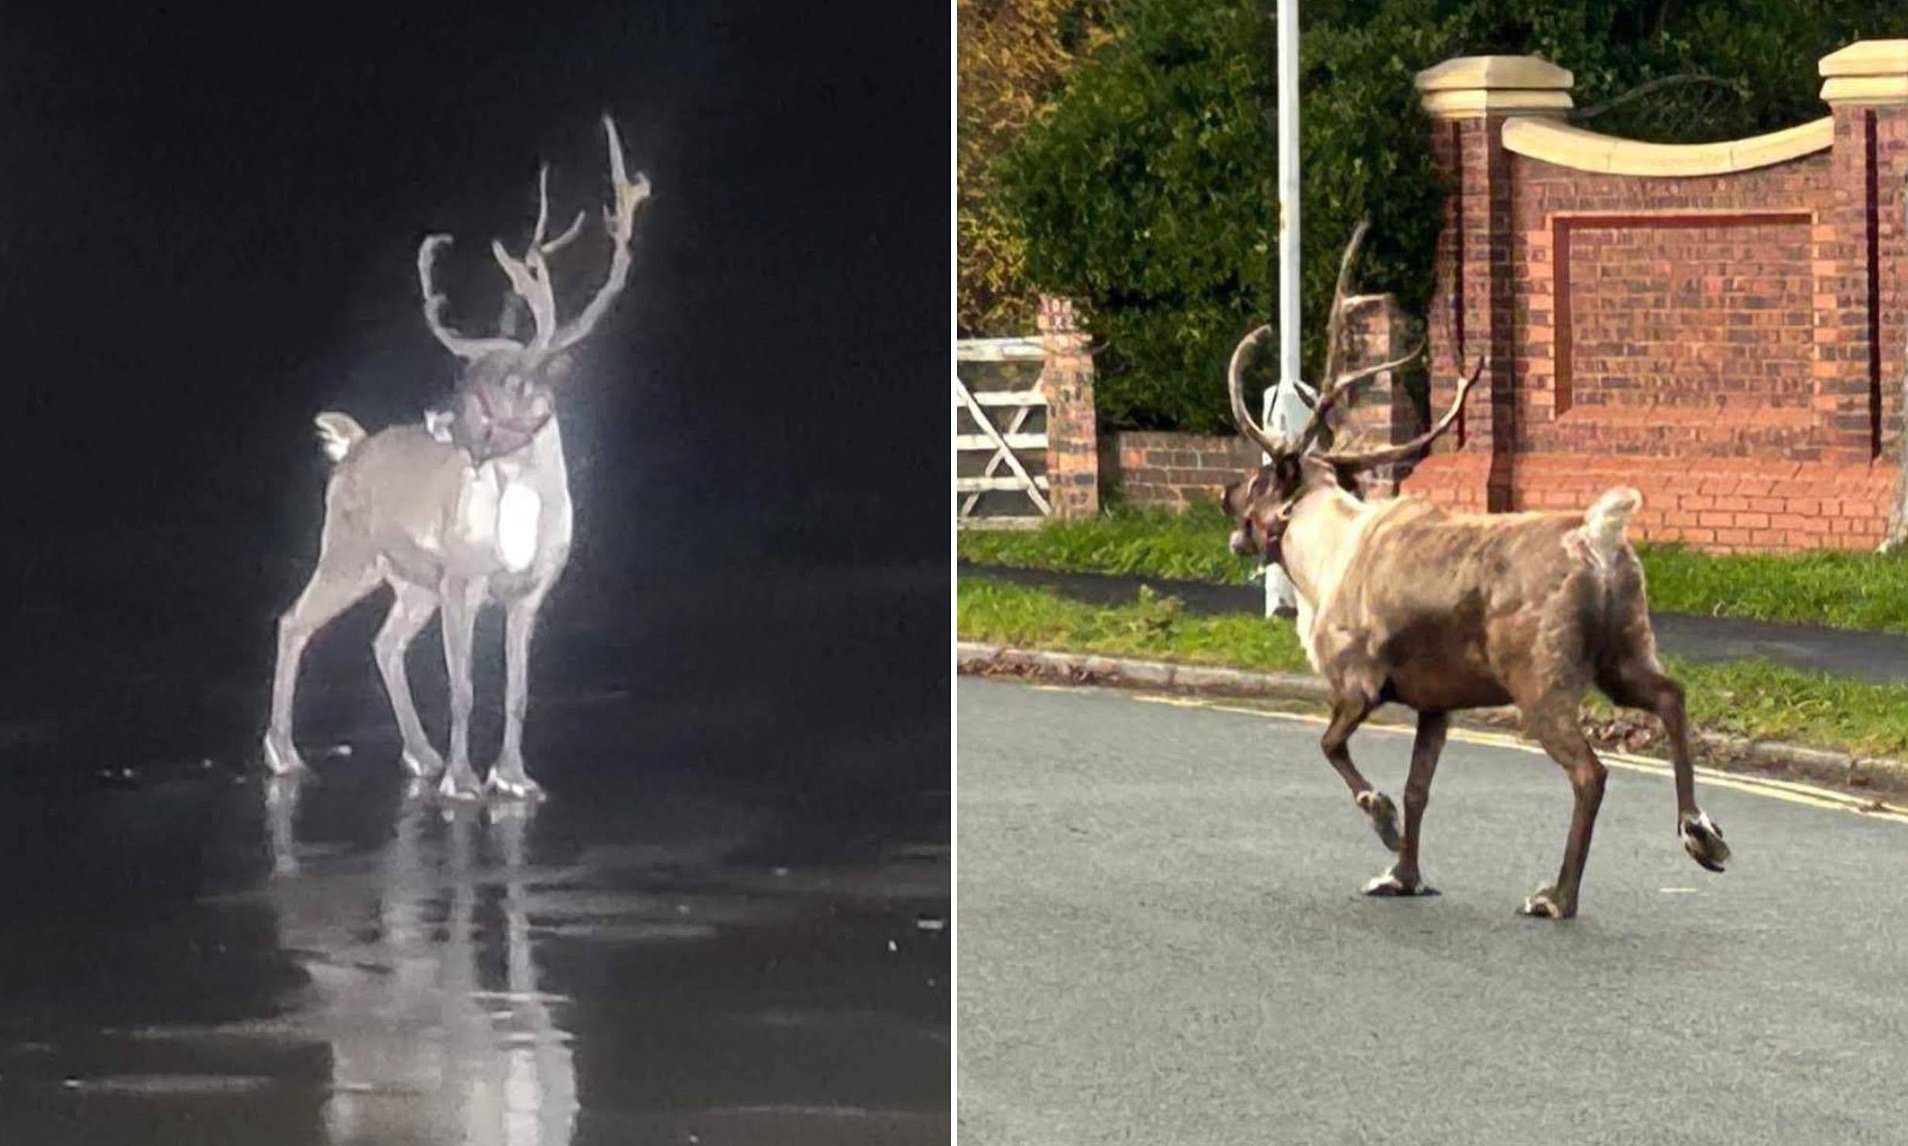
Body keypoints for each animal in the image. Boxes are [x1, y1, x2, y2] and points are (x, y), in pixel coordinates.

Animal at [263, 113, 652, 801]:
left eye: (508, 383)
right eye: (464, 376)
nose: (440, 418)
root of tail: (352, 445)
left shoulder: (529, 593)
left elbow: (518, 691)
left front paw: (515, 777)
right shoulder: (461, 581)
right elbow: (465, 687)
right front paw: (464, 779)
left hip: (407, 580)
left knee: (383, 642)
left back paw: (419, 754)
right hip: (350, 551)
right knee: (294, 621)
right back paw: (285, 753)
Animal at [1220, 221, 1730, 920]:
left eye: (1262, 476)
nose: (1224, 497)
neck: (1319, 558)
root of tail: (1599, 536)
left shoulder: (1358, 682)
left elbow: (1332, 748)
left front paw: (1381, 822)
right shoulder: (1437, 701)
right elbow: (1418, 788)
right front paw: (1403, 875)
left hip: (1541, 679)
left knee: (1590, 772)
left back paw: (1558, 895)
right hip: (1623, 651)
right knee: (1673, 697)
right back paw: (1701, 833)